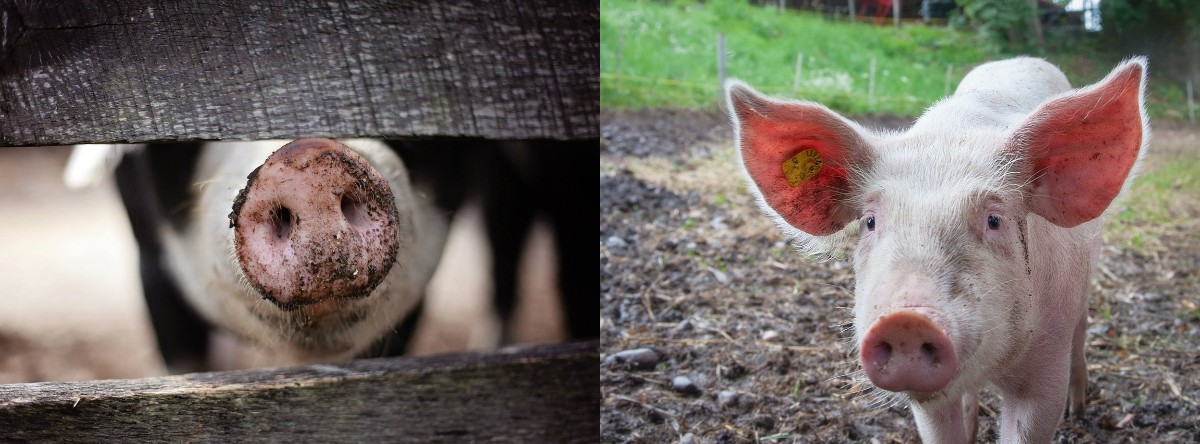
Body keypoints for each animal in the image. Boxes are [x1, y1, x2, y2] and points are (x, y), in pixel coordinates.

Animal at [725, 56, 1148, 443]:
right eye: (870, 221)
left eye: (995, 220)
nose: (906, 321)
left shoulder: (1046, 370)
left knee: (1082, 330)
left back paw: (1080, 411)